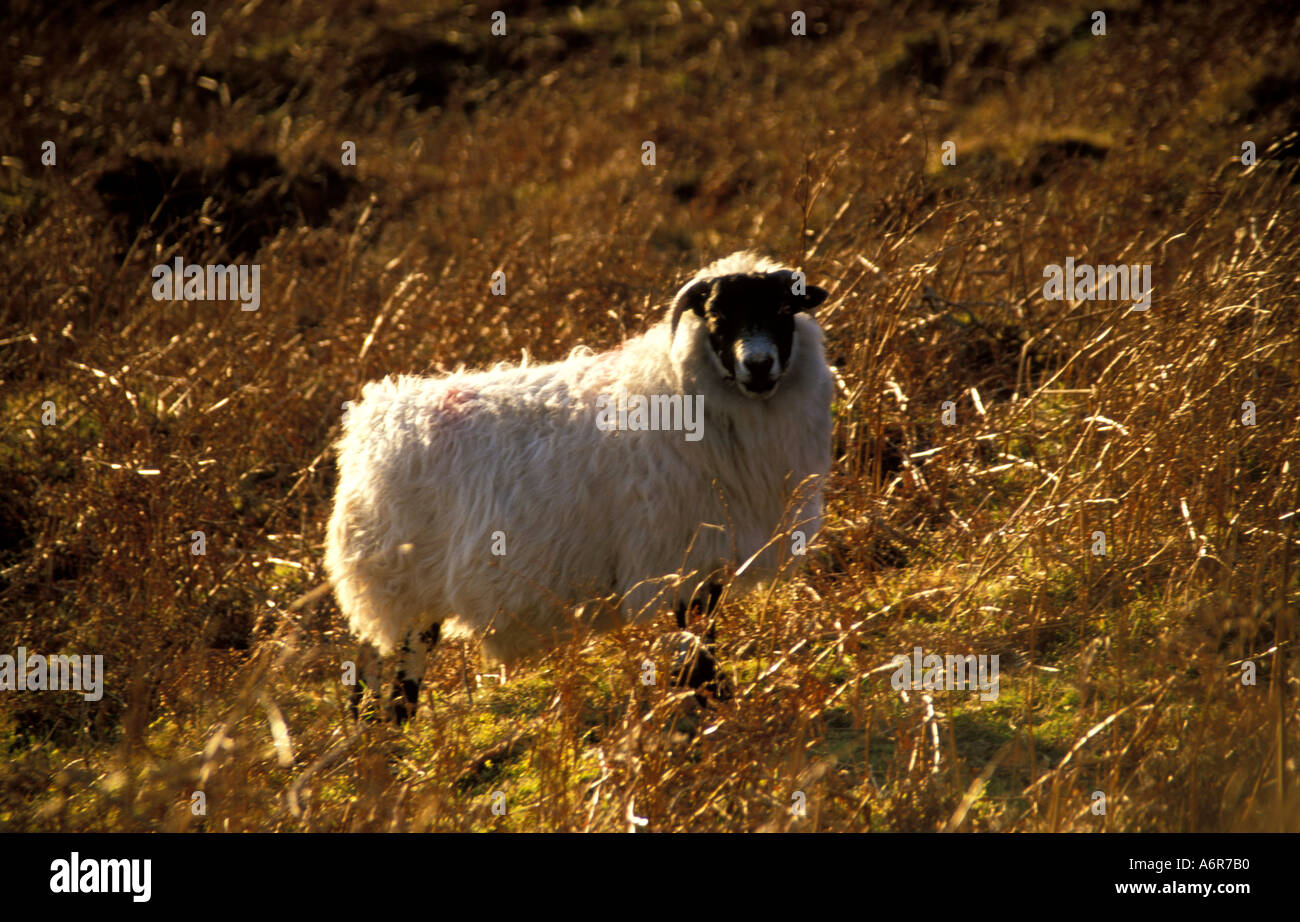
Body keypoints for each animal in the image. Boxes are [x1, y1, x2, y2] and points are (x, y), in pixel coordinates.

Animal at [325, 251, 832, 721]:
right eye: (717, 317)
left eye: (784, 310)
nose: (759, 365)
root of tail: (374, 420)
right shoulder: (670, 559)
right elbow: (693, 646)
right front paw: (707, 707)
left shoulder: (706, 557)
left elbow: (702, 636)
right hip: (399, 584)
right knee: (391, 670)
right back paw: (386, 735)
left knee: (374, 665)